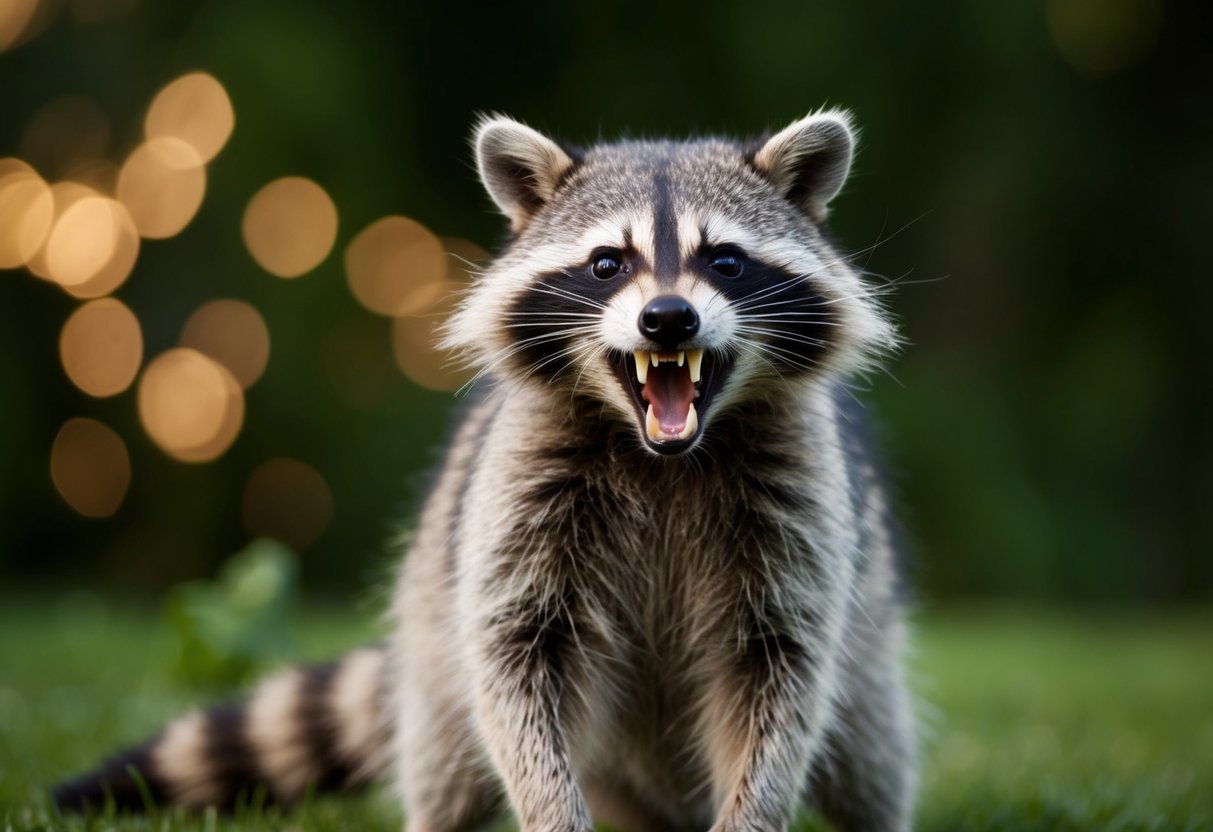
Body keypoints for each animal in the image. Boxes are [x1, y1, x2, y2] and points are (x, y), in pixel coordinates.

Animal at [54, 111, 915, 832]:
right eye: (608, 263)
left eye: (726, 261)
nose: (667, 319)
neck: (664, 457)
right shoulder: (518, 498)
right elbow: (515, 668)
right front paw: (550, 810)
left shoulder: (798, 508)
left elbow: (779, 677)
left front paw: (753, 813)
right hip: (434, 630)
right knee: (445, 759)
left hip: (870, 640)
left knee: (870, 757)